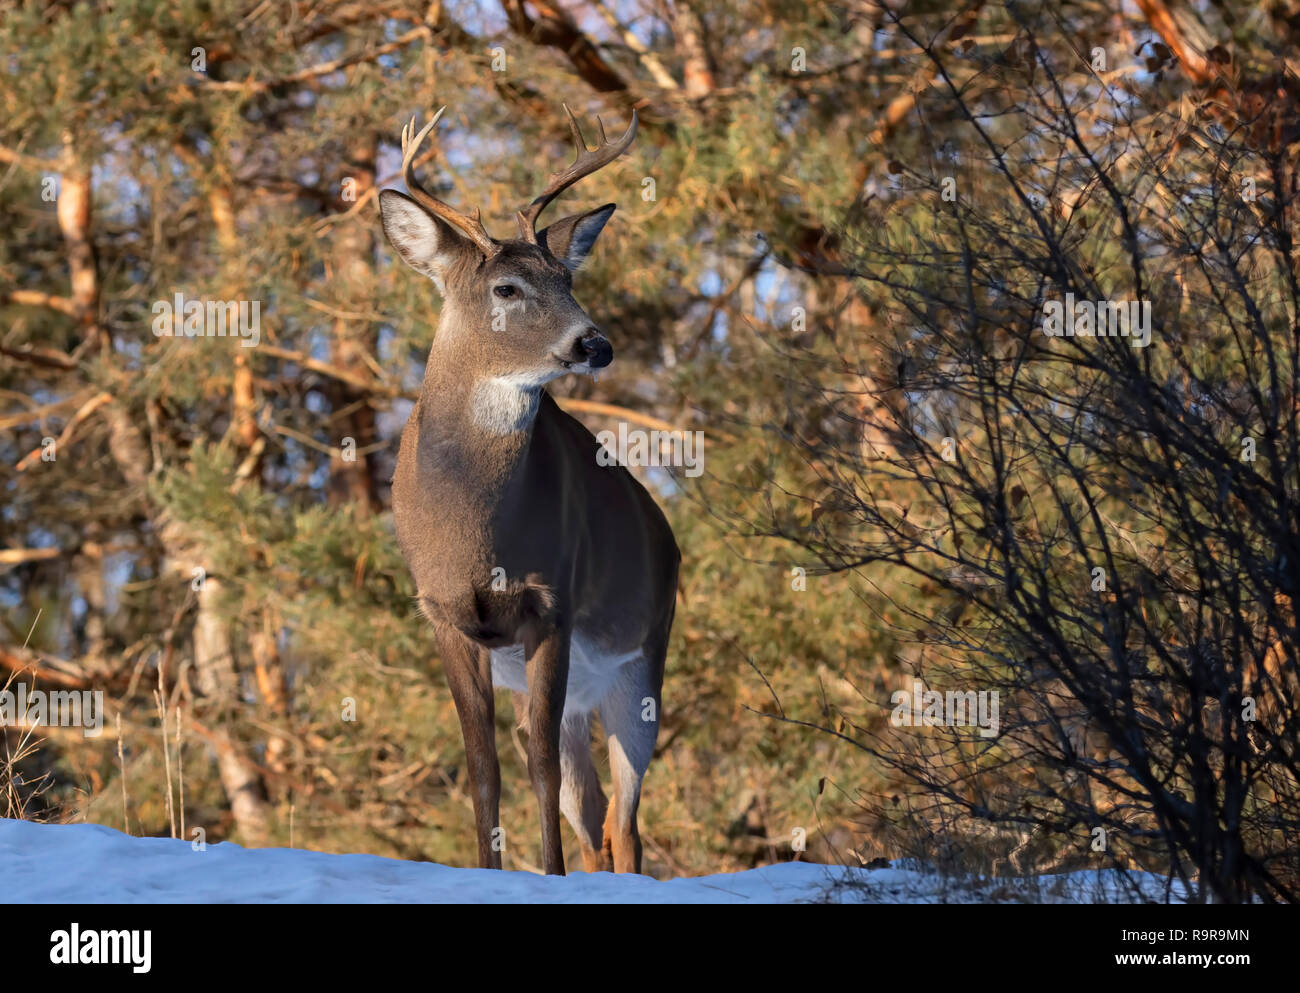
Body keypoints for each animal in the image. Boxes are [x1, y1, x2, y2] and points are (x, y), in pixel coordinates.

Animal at [377, 106, 679, 876]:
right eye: (507, 288)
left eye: (568, 276)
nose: (595, 344)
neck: (478, 528)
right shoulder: (444, 612)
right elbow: (483, 765)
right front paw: (490, 873)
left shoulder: (553, 603)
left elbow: (538, 764)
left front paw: (548, 875)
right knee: (595, 812)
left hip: (641, 663)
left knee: (625, 820)